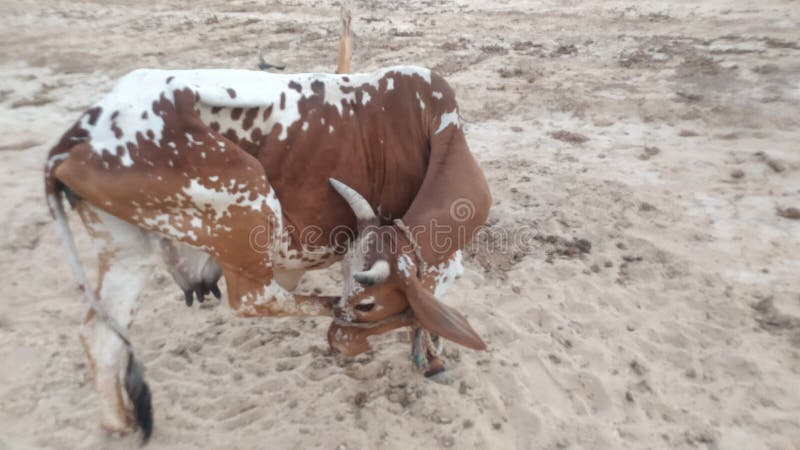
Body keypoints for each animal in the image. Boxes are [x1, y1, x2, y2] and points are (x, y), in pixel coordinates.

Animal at [44, 61, 491, 442]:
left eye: (366, 304)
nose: (339, 341)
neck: (433, 129)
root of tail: (75, 136)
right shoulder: (435, 265)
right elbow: (423, 310)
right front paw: (431, 359)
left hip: (128, 255)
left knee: (101, 336)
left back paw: (118, 423)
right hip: (251, 194)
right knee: (253, 299)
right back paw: (323, 304)